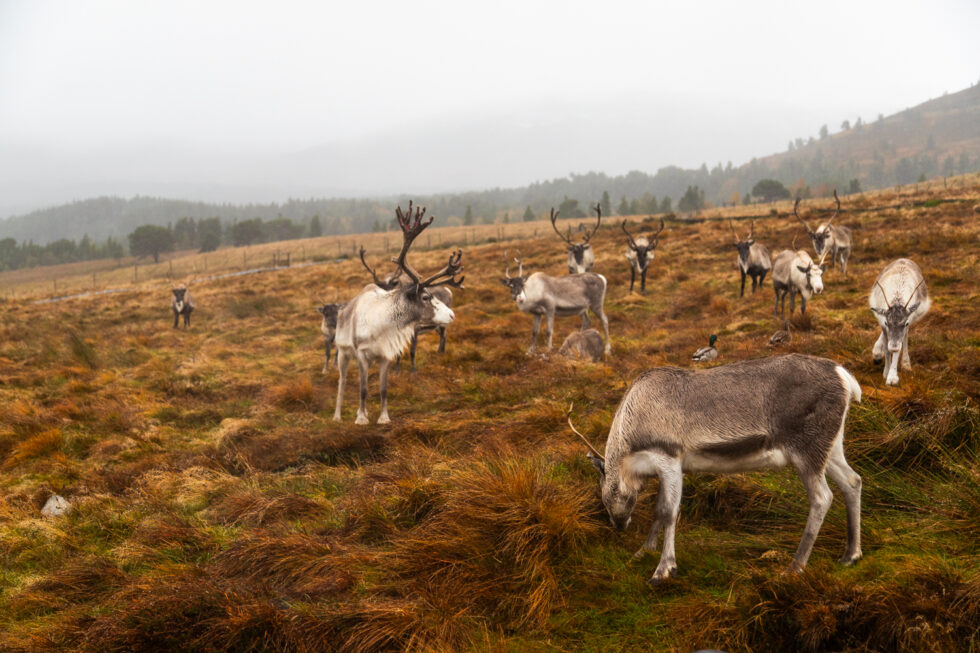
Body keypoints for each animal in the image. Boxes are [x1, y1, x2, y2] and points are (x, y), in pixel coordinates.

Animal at [333, 202, 463, 425]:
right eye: (425, 297)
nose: (452, 315)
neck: (381, 326)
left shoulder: (385, 355)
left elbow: (383, 389)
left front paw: (384, 417)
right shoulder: (361, 355)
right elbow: (363, 389)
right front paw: (361, 418)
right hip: (343, 352)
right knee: (342, 381)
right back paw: (337, 416)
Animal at [569, 353, 863, 585]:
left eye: (605, 492)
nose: (619, 525)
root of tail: (845, 378)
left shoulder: (668, 457)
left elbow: (668, 512)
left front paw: (663, 569)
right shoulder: (670, 468)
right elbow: (658, 509)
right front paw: (643, 552)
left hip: (806, 450)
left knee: (822, 497)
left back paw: (795, 566)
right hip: (832, 447)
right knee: (853, 481)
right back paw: (851, 555)